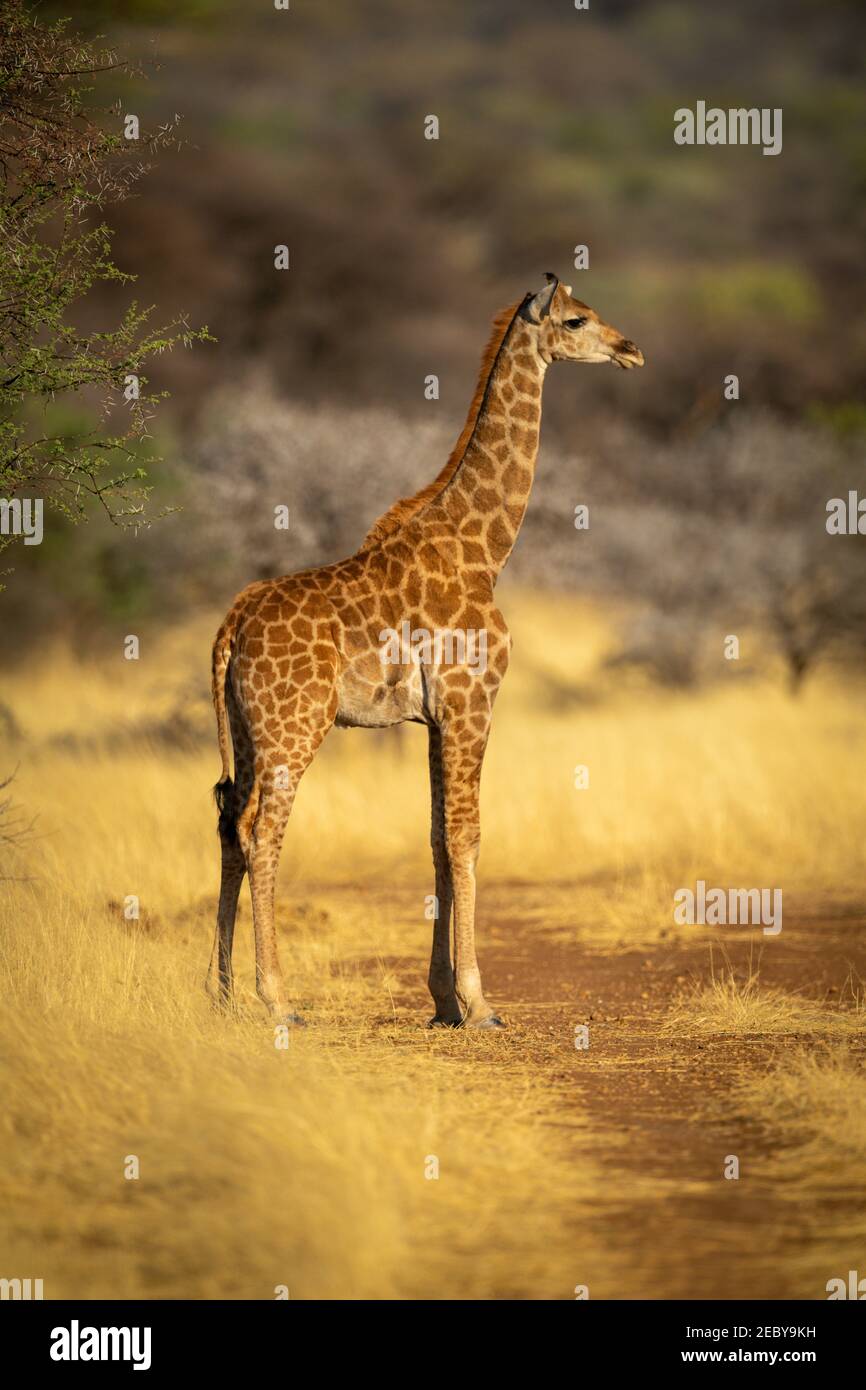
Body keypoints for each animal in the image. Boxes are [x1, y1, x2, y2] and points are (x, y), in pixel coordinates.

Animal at [206, 273, 644, 1029]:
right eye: (577, 319)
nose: (631, 350)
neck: (484, 550)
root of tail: (231, 623)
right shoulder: (473, 702)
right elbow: (468, 835)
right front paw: (480, 1002)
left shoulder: (434, 719)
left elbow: (438, 837)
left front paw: (443, 1002)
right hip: (295, 726)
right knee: (263, 832)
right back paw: (279, 1002)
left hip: (245, 729)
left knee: (229, 822)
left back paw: (227, 994)